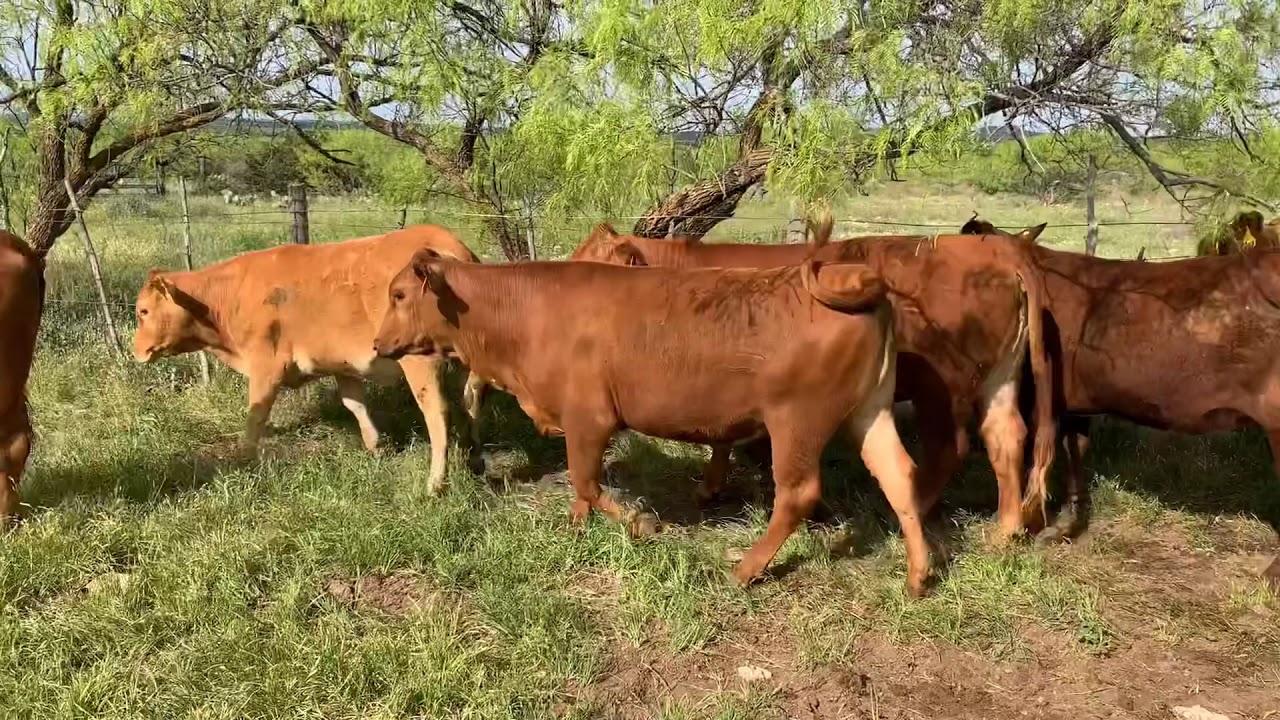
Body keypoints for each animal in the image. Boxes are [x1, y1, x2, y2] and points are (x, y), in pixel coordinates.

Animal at [132, 224, 488, 494]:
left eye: (143, 311)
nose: (136, 351)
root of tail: (443, 242)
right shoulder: (344, 364)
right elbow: (354, 404)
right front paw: (375, 447)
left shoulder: (266, 366)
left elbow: (255, 415)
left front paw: (244, 458)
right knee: (470, 400)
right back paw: (474, 460)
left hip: (420, 360)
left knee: (438, 412)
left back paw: (436, 483)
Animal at [372, 219, 935, 596]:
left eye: (398, 294)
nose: (378, 343)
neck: (527, 313)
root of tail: (858, 283)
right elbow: (582, 490)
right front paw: (576, 527)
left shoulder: (589, 418)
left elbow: (587, 483)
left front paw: (641, 524)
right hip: (868, 413)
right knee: (899, 475)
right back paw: (917, 575)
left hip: (796, 423)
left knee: (797, 495)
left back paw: (745, 569)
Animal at [570, 219, 1057, 541]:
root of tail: (996, 251)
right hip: (998, 379)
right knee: (1005, 437)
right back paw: (1005, 531)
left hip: (942, 389)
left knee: (948, 449)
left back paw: (919, 507)